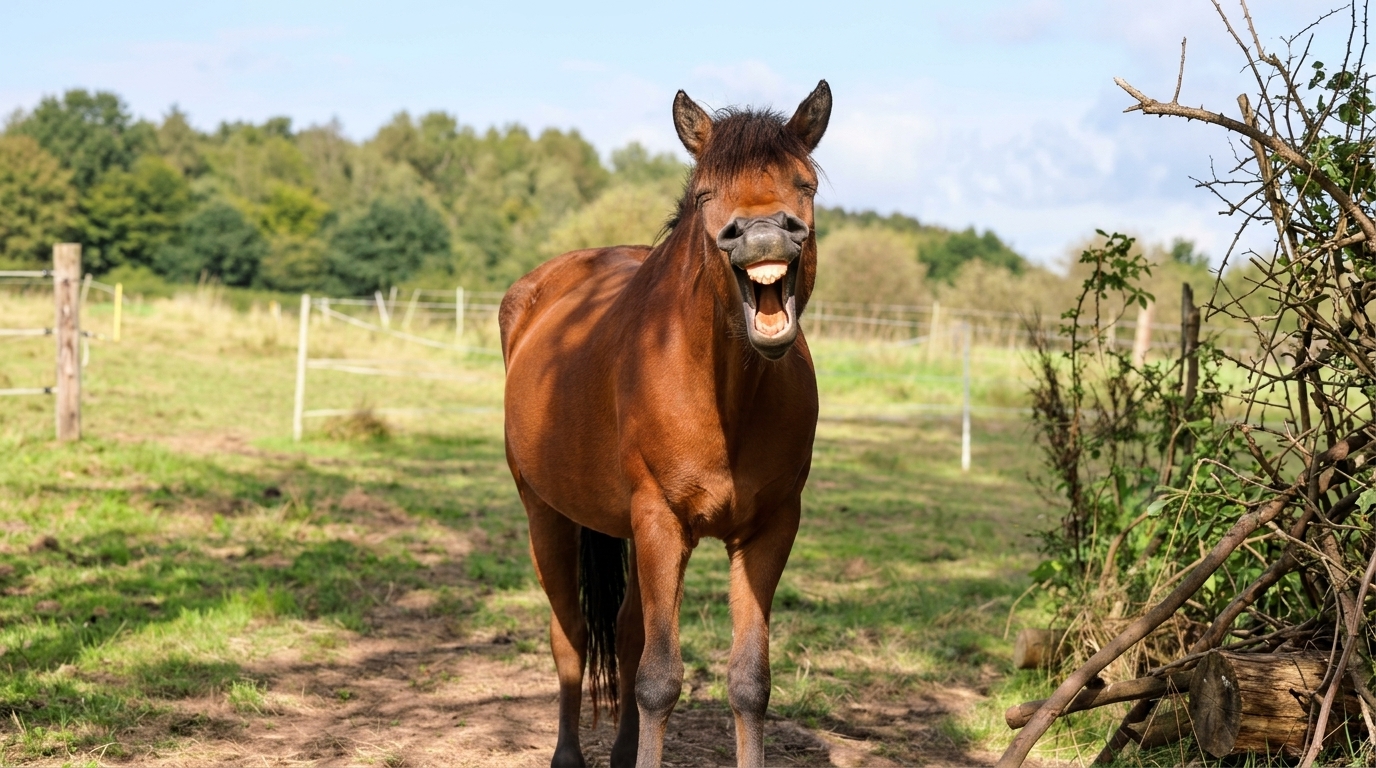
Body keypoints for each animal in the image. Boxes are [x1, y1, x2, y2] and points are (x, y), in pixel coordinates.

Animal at [499, 80, 831, 768]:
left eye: (805, 184)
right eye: (705, 194)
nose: (763, 232)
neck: (726, 397)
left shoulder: (770, 528)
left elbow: (749, 682)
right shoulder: (660, 519)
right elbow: (659, 679)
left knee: (625, 635)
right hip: (546, 513)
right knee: (571, 635)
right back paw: (568, 755)